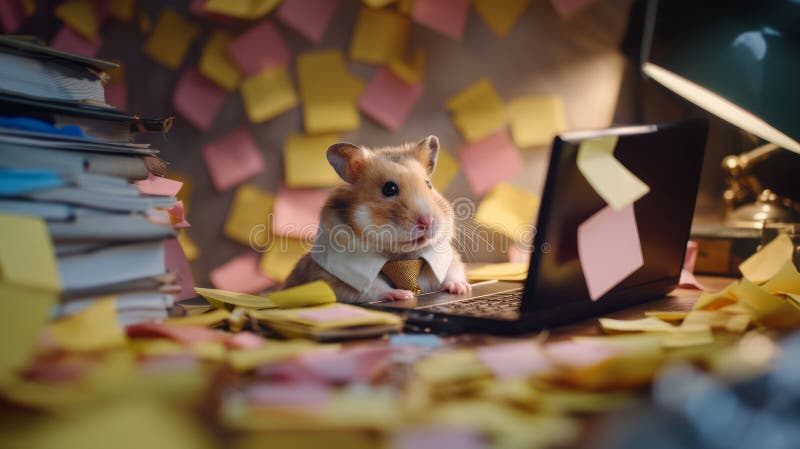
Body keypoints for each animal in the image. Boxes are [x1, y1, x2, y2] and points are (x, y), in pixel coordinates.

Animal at [283, 135, 472, 304]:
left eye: (428, 184)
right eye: (389, 189)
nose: (428, 221)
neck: (400, 254)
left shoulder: (450, 260)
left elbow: (451, 272)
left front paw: (462, 288)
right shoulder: (337, 281)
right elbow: (374, 287)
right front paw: (404, 295)